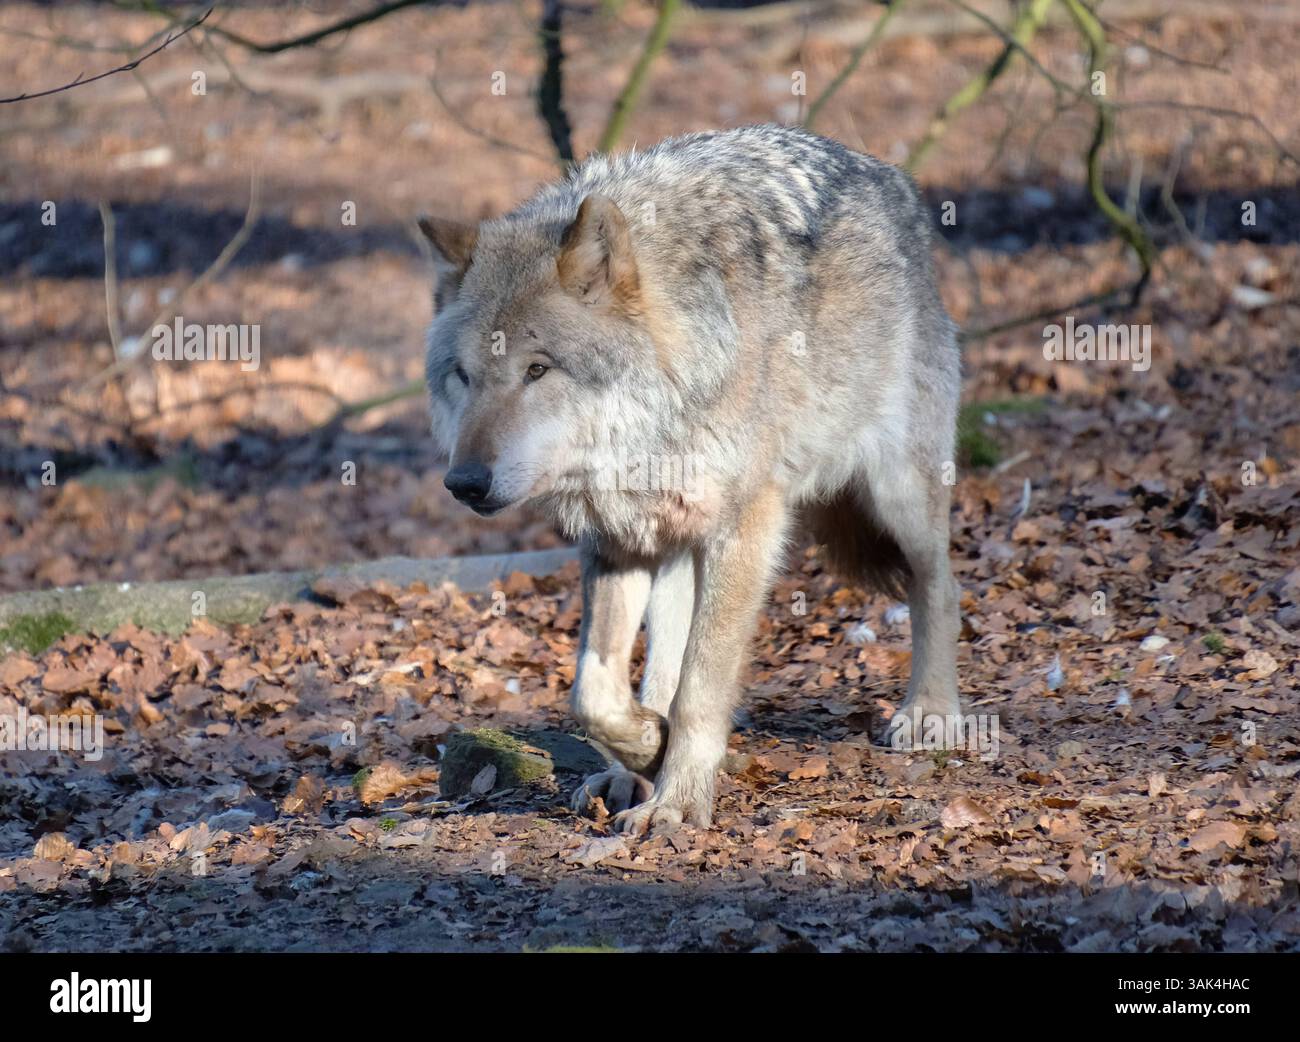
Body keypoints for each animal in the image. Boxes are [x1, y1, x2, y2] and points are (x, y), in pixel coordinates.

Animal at [420, 124, 961, 834]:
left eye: (538, 369)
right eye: (463, 374)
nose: (465, 482)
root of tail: (891, 177)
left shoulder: (746, 531)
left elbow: (702, 686)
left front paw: (677, 799)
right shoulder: (616, 539)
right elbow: (593, 691)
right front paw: (649, 748)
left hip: (898, 496)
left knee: (942, 587)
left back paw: (932, 713)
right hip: (674, 545)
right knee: (659, 663)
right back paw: (628, 772)